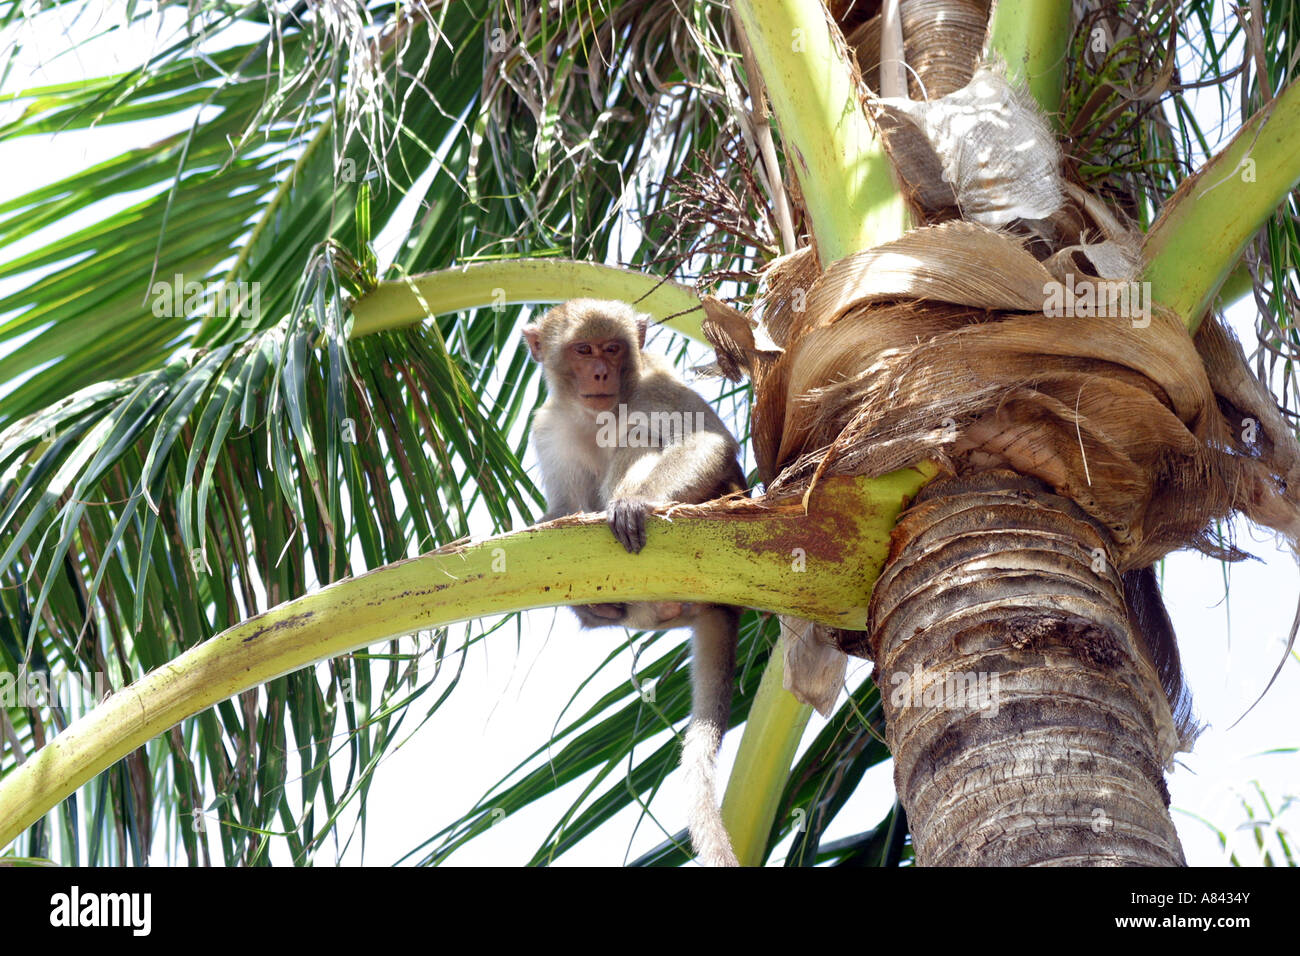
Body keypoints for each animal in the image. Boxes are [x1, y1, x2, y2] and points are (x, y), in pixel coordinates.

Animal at [523, 298, 747, 867]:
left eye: (613, 348)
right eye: (583, 350)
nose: (601, 372)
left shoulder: (653, 387)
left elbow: (706, 440)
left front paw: (637, 503)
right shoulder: (548, 426)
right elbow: (561, 511)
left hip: (715, 498)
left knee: (638, 438)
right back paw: (603, 609)